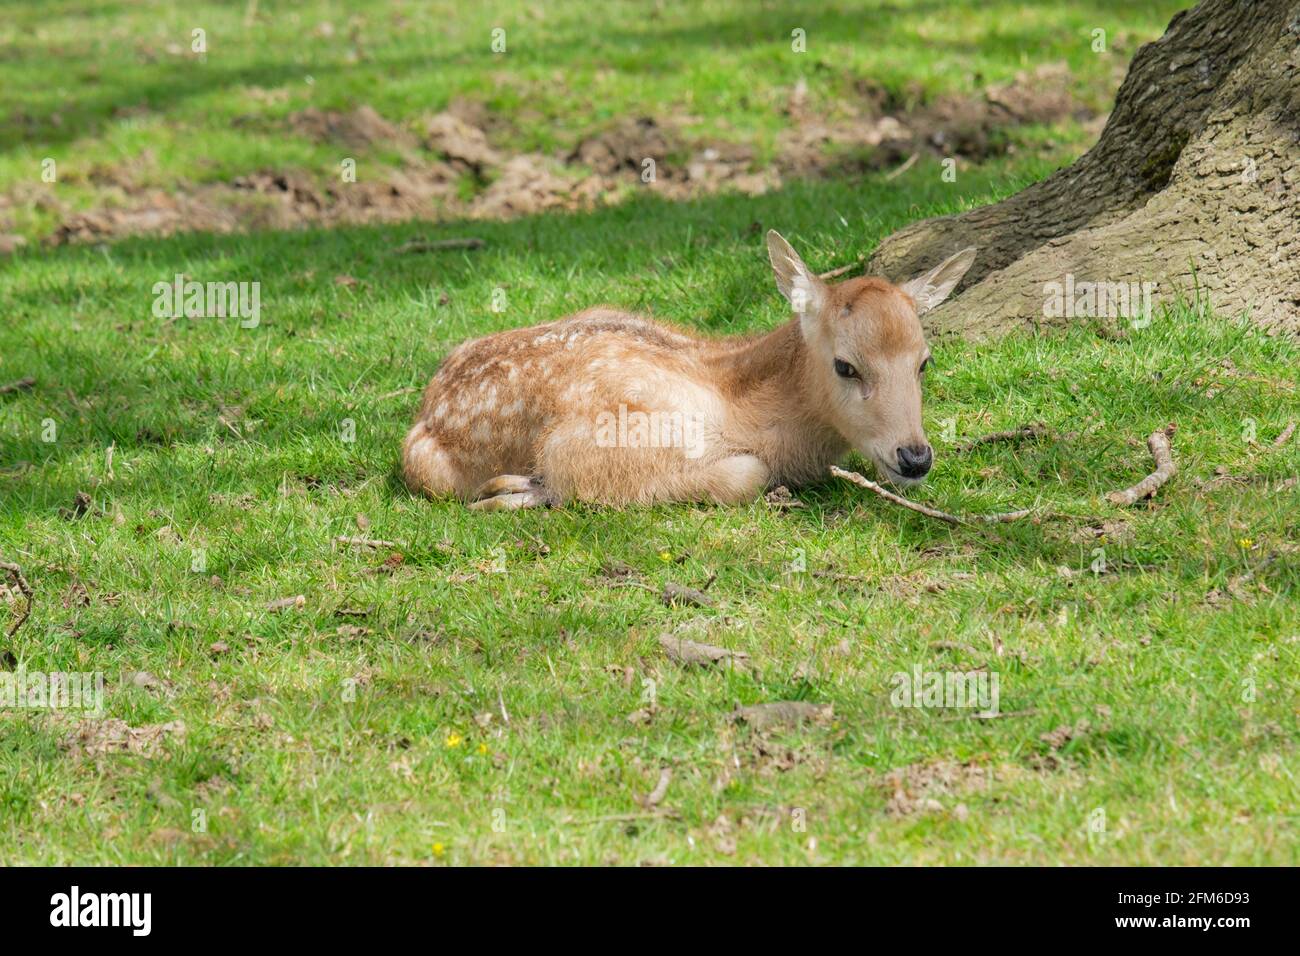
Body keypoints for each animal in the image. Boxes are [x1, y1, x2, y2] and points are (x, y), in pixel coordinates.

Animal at [402, 231, 976, 510]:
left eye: (924, 361)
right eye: (845, 365)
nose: (914, 456)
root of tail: (428, 402)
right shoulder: (593, 437)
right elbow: (747, 474)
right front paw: (517, 488)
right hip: (427, 468)